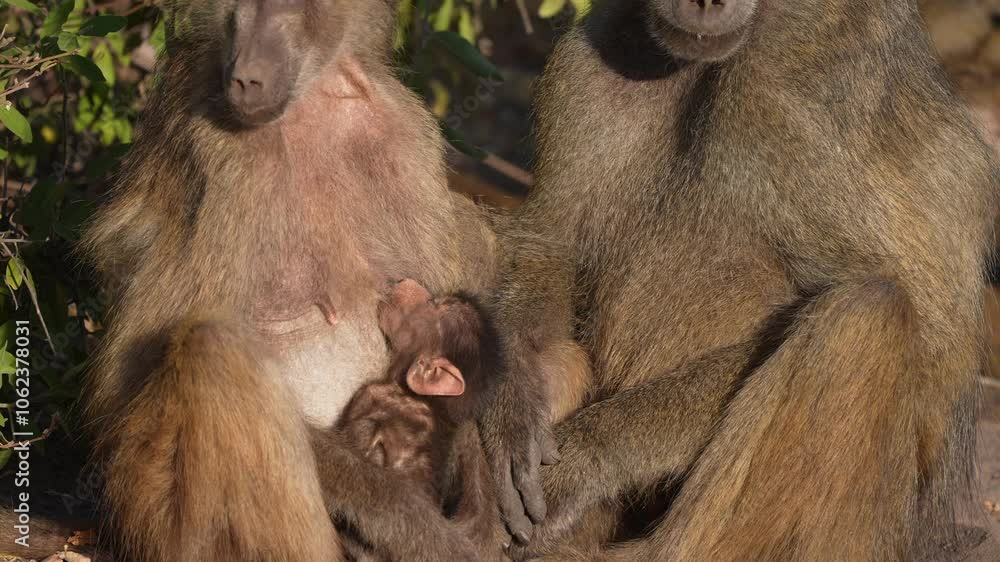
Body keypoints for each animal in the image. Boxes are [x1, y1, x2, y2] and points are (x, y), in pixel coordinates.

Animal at [477, 0, 1000, 560]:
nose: (706, 4)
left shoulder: (787, 110)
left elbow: (930, 346)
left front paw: (585, 459)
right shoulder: (588, 61)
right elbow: (550, 242)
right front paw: (510, 408)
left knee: (868, 311)